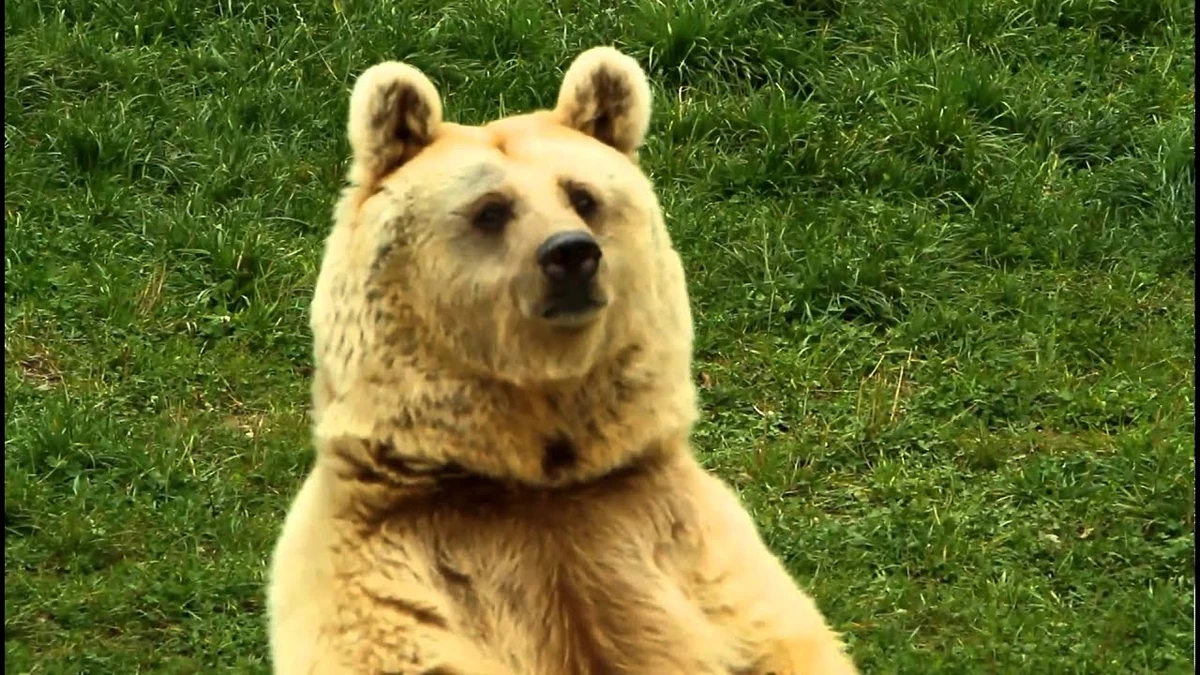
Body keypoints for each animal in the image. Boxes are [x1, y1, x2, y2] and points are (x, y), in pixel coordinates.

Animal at [266, 46, 859, 675]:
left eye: (583, 196)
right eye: (491, 210)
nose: (571, 254)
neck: (536, 474)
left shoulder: (693, 558)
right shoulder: (390, 577)